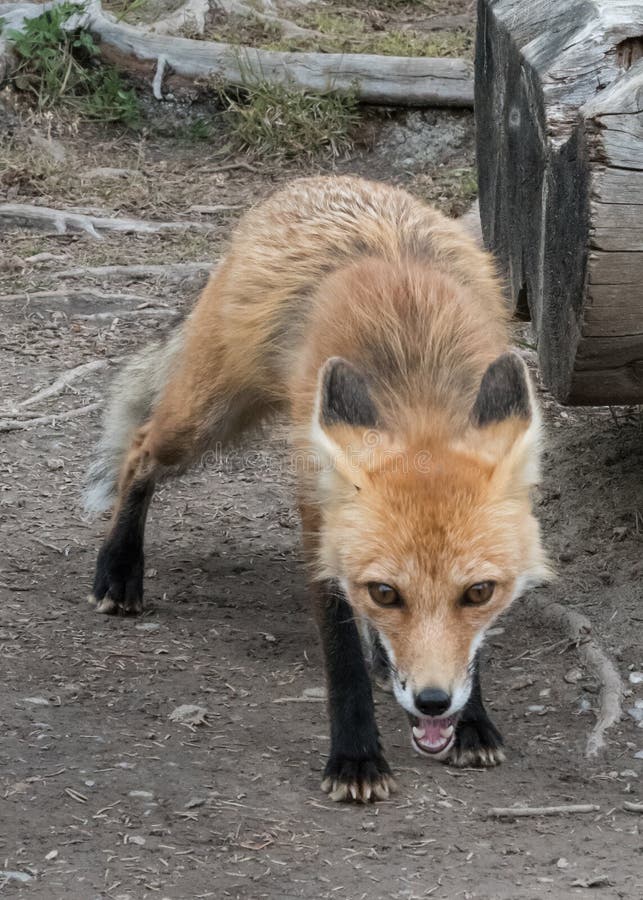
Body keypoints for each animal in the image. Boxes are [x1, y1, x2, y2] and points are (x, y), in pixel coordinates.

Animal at [86, 176, 550, 803]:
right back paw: (119, 568)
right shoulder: (319, 517)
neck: (417, 384)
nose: (432, 702)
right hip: (203, 419)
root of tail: (314, 181)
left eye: (479, 592)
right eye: (385, 592)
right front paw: (355, 756)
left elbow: (469, 651)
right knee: (138, 449)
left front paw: (471, 720)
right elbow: (340, 649)